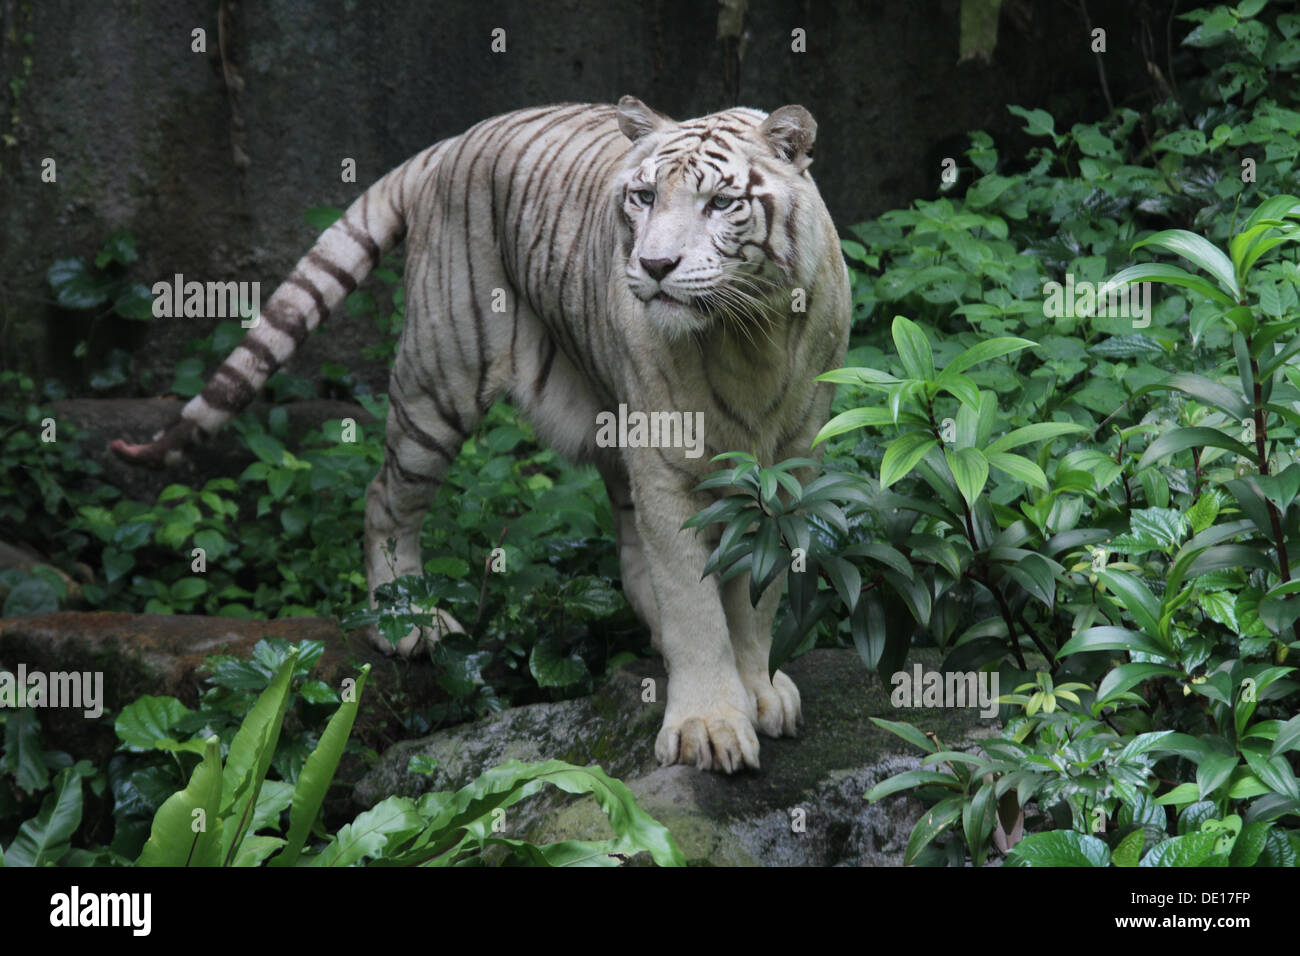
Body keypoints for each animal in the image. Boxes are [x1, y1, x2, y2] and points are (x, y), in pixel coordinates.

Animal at [112, 97, 851, 773]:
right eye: (643, 196)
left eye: (721, 202)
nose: (655, 264)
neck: (747, 336)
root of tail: (458, 138)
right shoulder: (667, 457)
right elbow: (695, 598)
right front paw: (709, 726)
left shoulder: (791, 469)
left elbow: (757, 595)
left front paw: (758, 692)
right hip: (440, 378)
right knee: (384, 497)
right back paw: (410, 625)